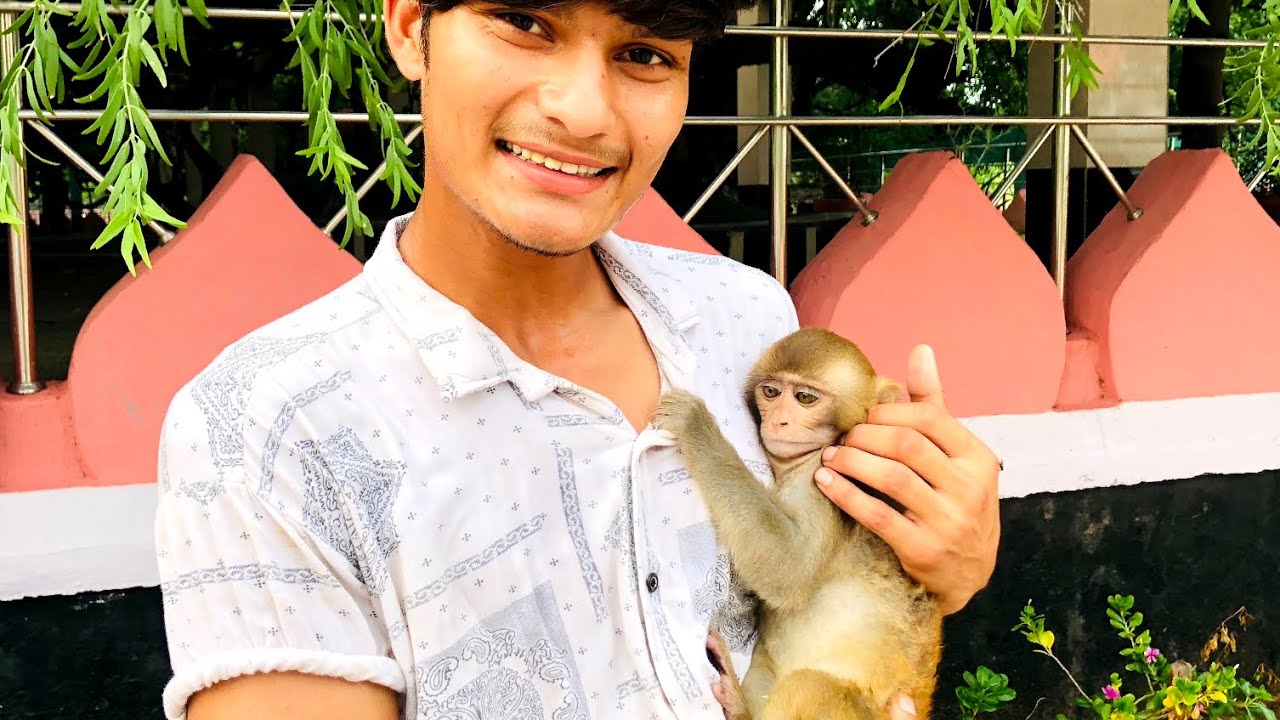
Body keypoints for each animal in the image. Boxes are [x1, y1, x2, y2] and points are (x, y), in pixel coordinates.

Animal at [653, 327, 942, 720]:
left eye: (805, 397)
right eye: (771, 392)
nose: (778, 420)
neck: (803, 463)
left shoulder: (826, 486)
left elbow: (789, 568)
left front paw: (694, 423)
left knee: (810, 684)